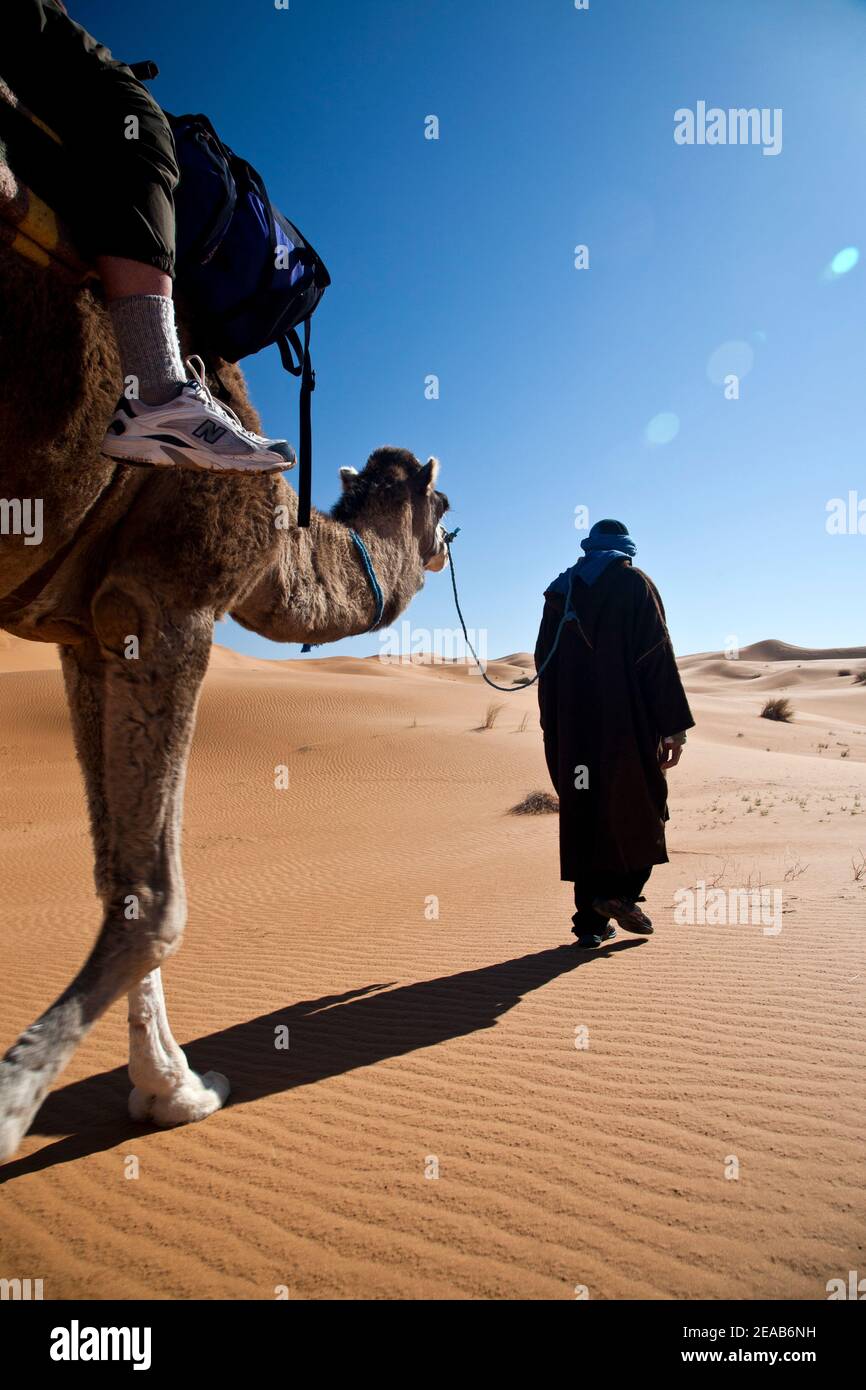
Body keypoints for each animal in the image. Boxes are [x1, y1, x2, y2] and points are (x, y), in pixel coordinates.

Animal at [0, 238, 450, 1163]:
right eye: (444, 500)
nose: (452, 539)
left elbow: (117, 876)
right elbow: (158, 897)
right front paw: (19, 1101)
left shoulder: (85, 632)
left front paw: (172, 1090)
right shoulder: (168, 599)